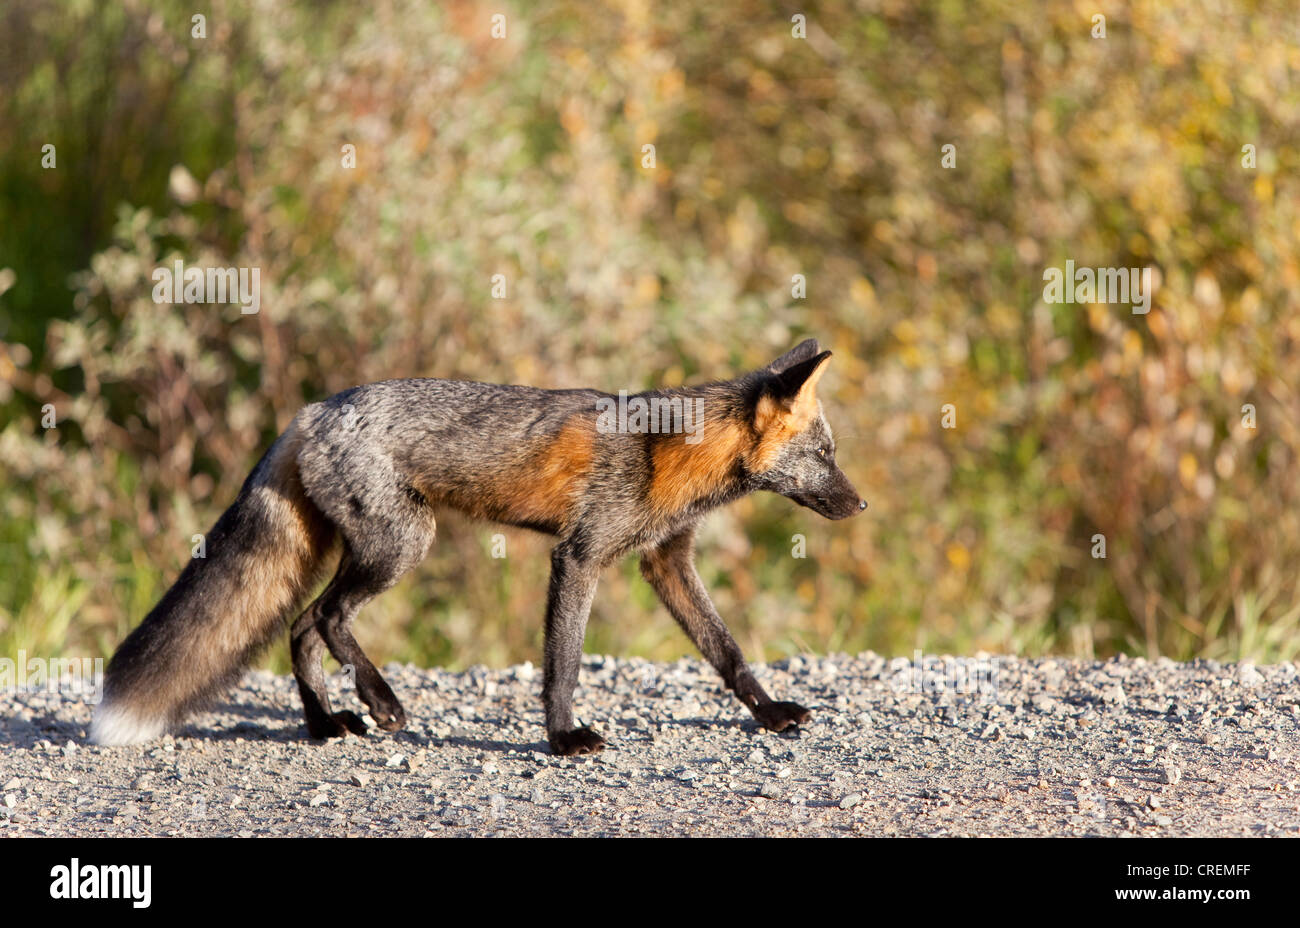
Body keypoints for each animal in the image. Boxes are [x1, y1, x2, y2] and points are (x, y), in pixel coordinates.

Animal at [91, 338, 866, 755]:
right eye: (825, 456)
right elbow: (563, 664)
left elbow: (727, 651)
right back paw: (381, 701)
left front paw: (769, 713)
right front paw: (563, 738)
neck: (670, 456)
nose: (860, 505)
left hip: (372, 549)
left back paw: (326, 724)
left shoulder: (666, 561)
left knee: (301, 627)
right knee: (325, 618)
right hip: (403, 546)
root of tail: (313, 409)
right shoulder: (580, 555)